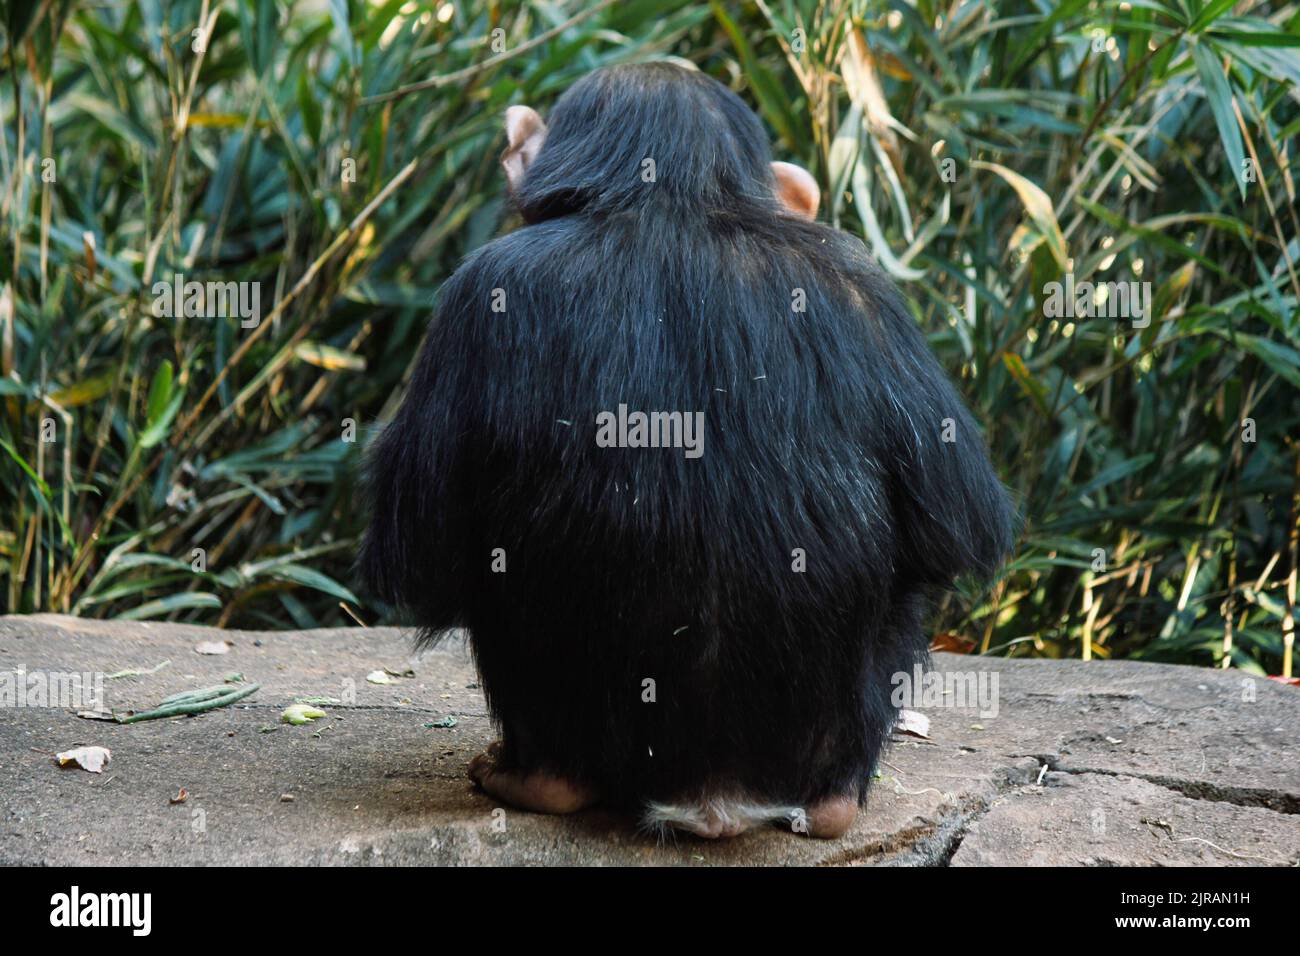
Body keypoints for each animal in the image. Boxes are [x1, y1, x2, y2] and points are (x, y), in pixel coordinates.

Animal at [359, 62, 1014, 840]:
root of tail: (715, 796)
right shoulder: (877, 297)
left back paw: (531, 779)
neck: (668, 195)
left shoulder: (475, 290)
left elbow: (420, 554)